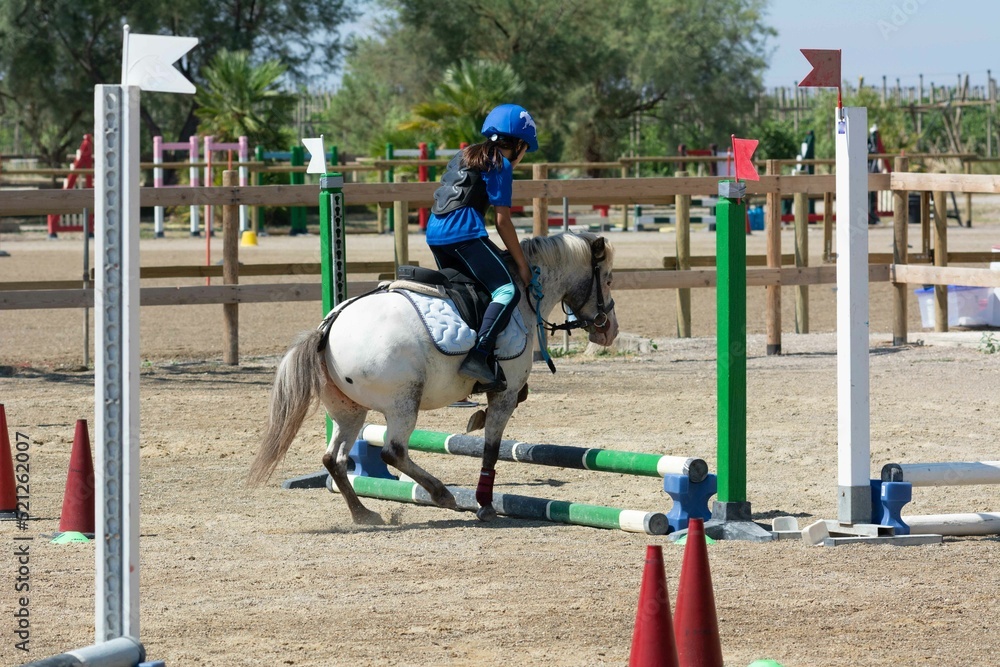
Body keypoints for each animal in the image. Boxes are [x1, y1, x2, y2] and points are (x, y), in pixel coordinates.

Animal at [248, 230, 619, 525]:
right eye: (609, 278)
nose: (609, 331)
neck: (526, 293)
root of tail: (328, 328)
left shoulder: (507, 389)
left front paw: (475, 419)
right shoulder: (506, 392)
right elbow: (492, 448)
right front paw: (485, 503)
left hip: (348, 410)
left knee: (333, 458)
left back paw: (363, 513)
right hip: (402, 402)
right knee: (392, 452)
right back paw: (442, 494)